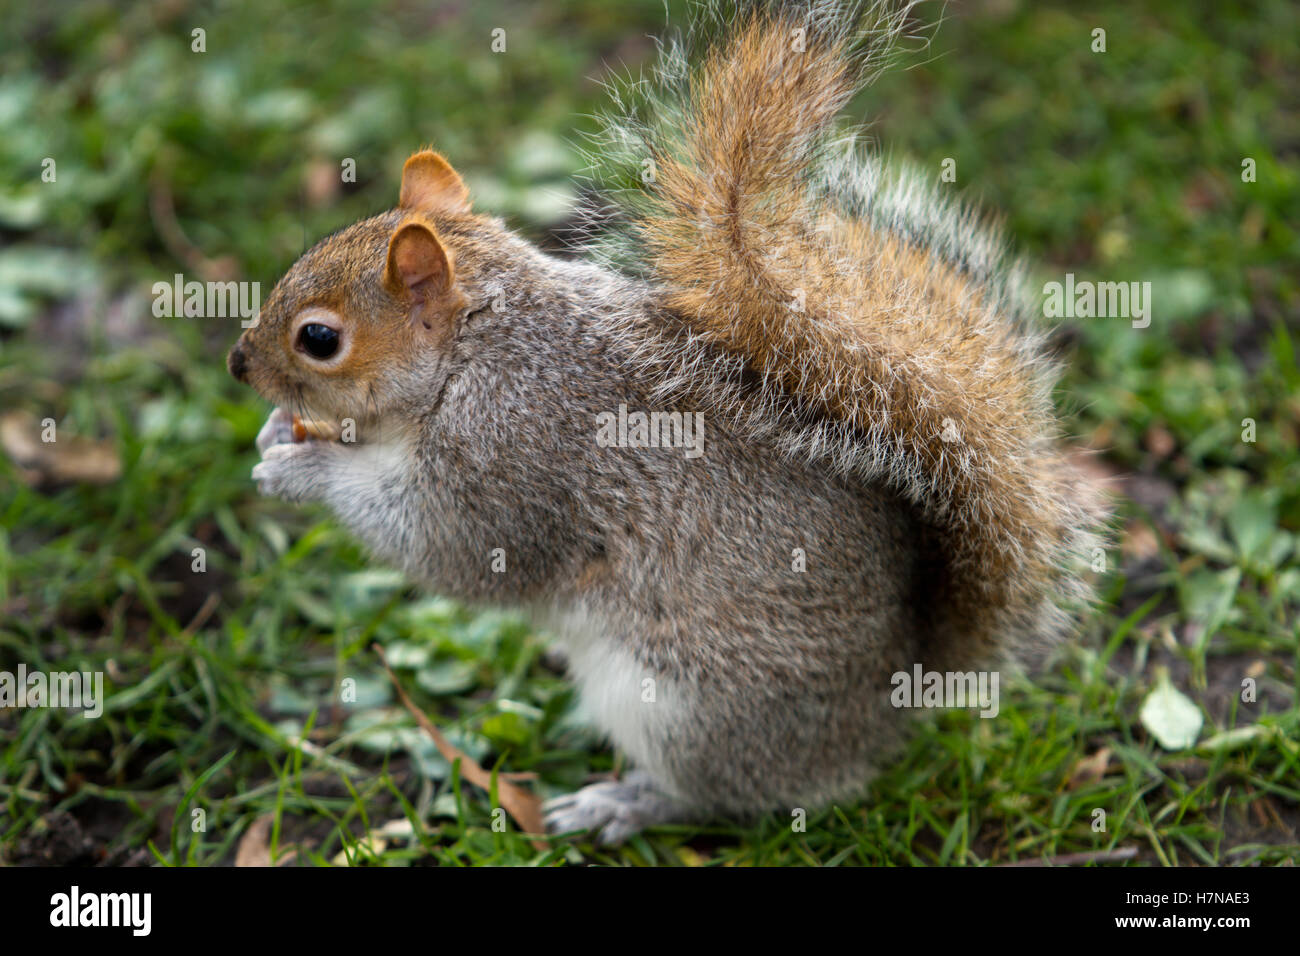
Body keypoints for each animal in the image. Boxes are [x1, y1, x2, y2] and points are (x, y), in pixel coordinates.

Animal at [227, 0, 1107, 843]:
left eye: (319, 339)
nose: (238, 364)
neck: (477, 351)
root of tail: (895, 698)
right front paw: (279, 436)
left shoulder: (515, 452)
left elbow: (454, 549)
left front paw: (305, 471)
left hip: (684, 705)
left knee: (722, 795)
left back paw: (624, 805)